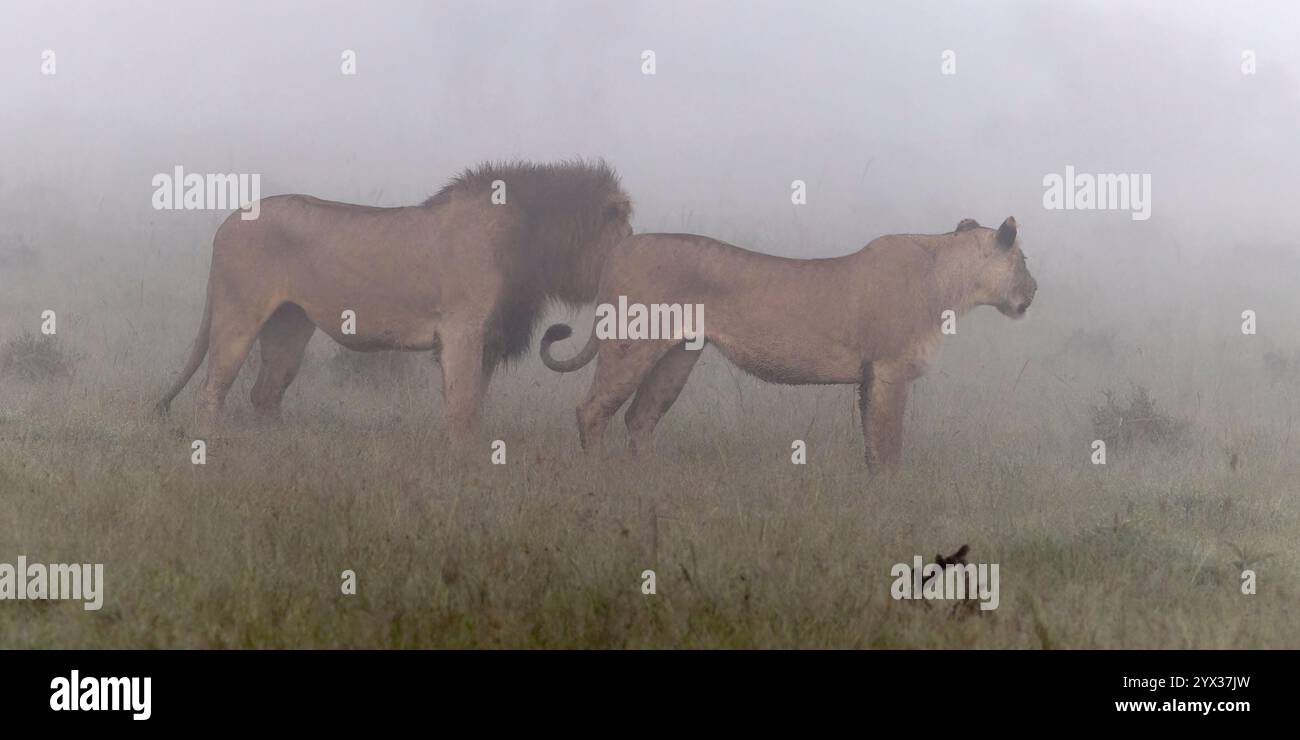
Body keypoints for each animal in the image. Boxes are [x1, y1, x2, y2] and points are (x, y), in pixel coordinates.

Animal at [156, 160, 632, 445]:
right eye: (625, 240)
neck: (530, 239)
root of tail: (227, 221)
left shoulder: (490, 337)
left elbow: (475, 405)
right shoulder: (461, 330)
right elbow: (462, 408)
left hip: (290, 323)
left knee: (266, 392)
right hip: (239, 314)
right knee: (212, 389)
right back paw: (211, 446)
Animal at [540, 217, 1036, 468]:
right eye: (1025, 260)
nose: (1034, 290)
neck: (949, 282)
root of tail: (619, 248)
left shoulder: (870, 377)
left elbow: (872, 444)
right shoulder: (891, 370)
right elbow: (890, 443)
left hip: (677, 357)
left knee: (640, 418)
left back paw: (645, 481)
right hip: (630, 345)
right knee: (592, 410)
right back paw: (599, 479)